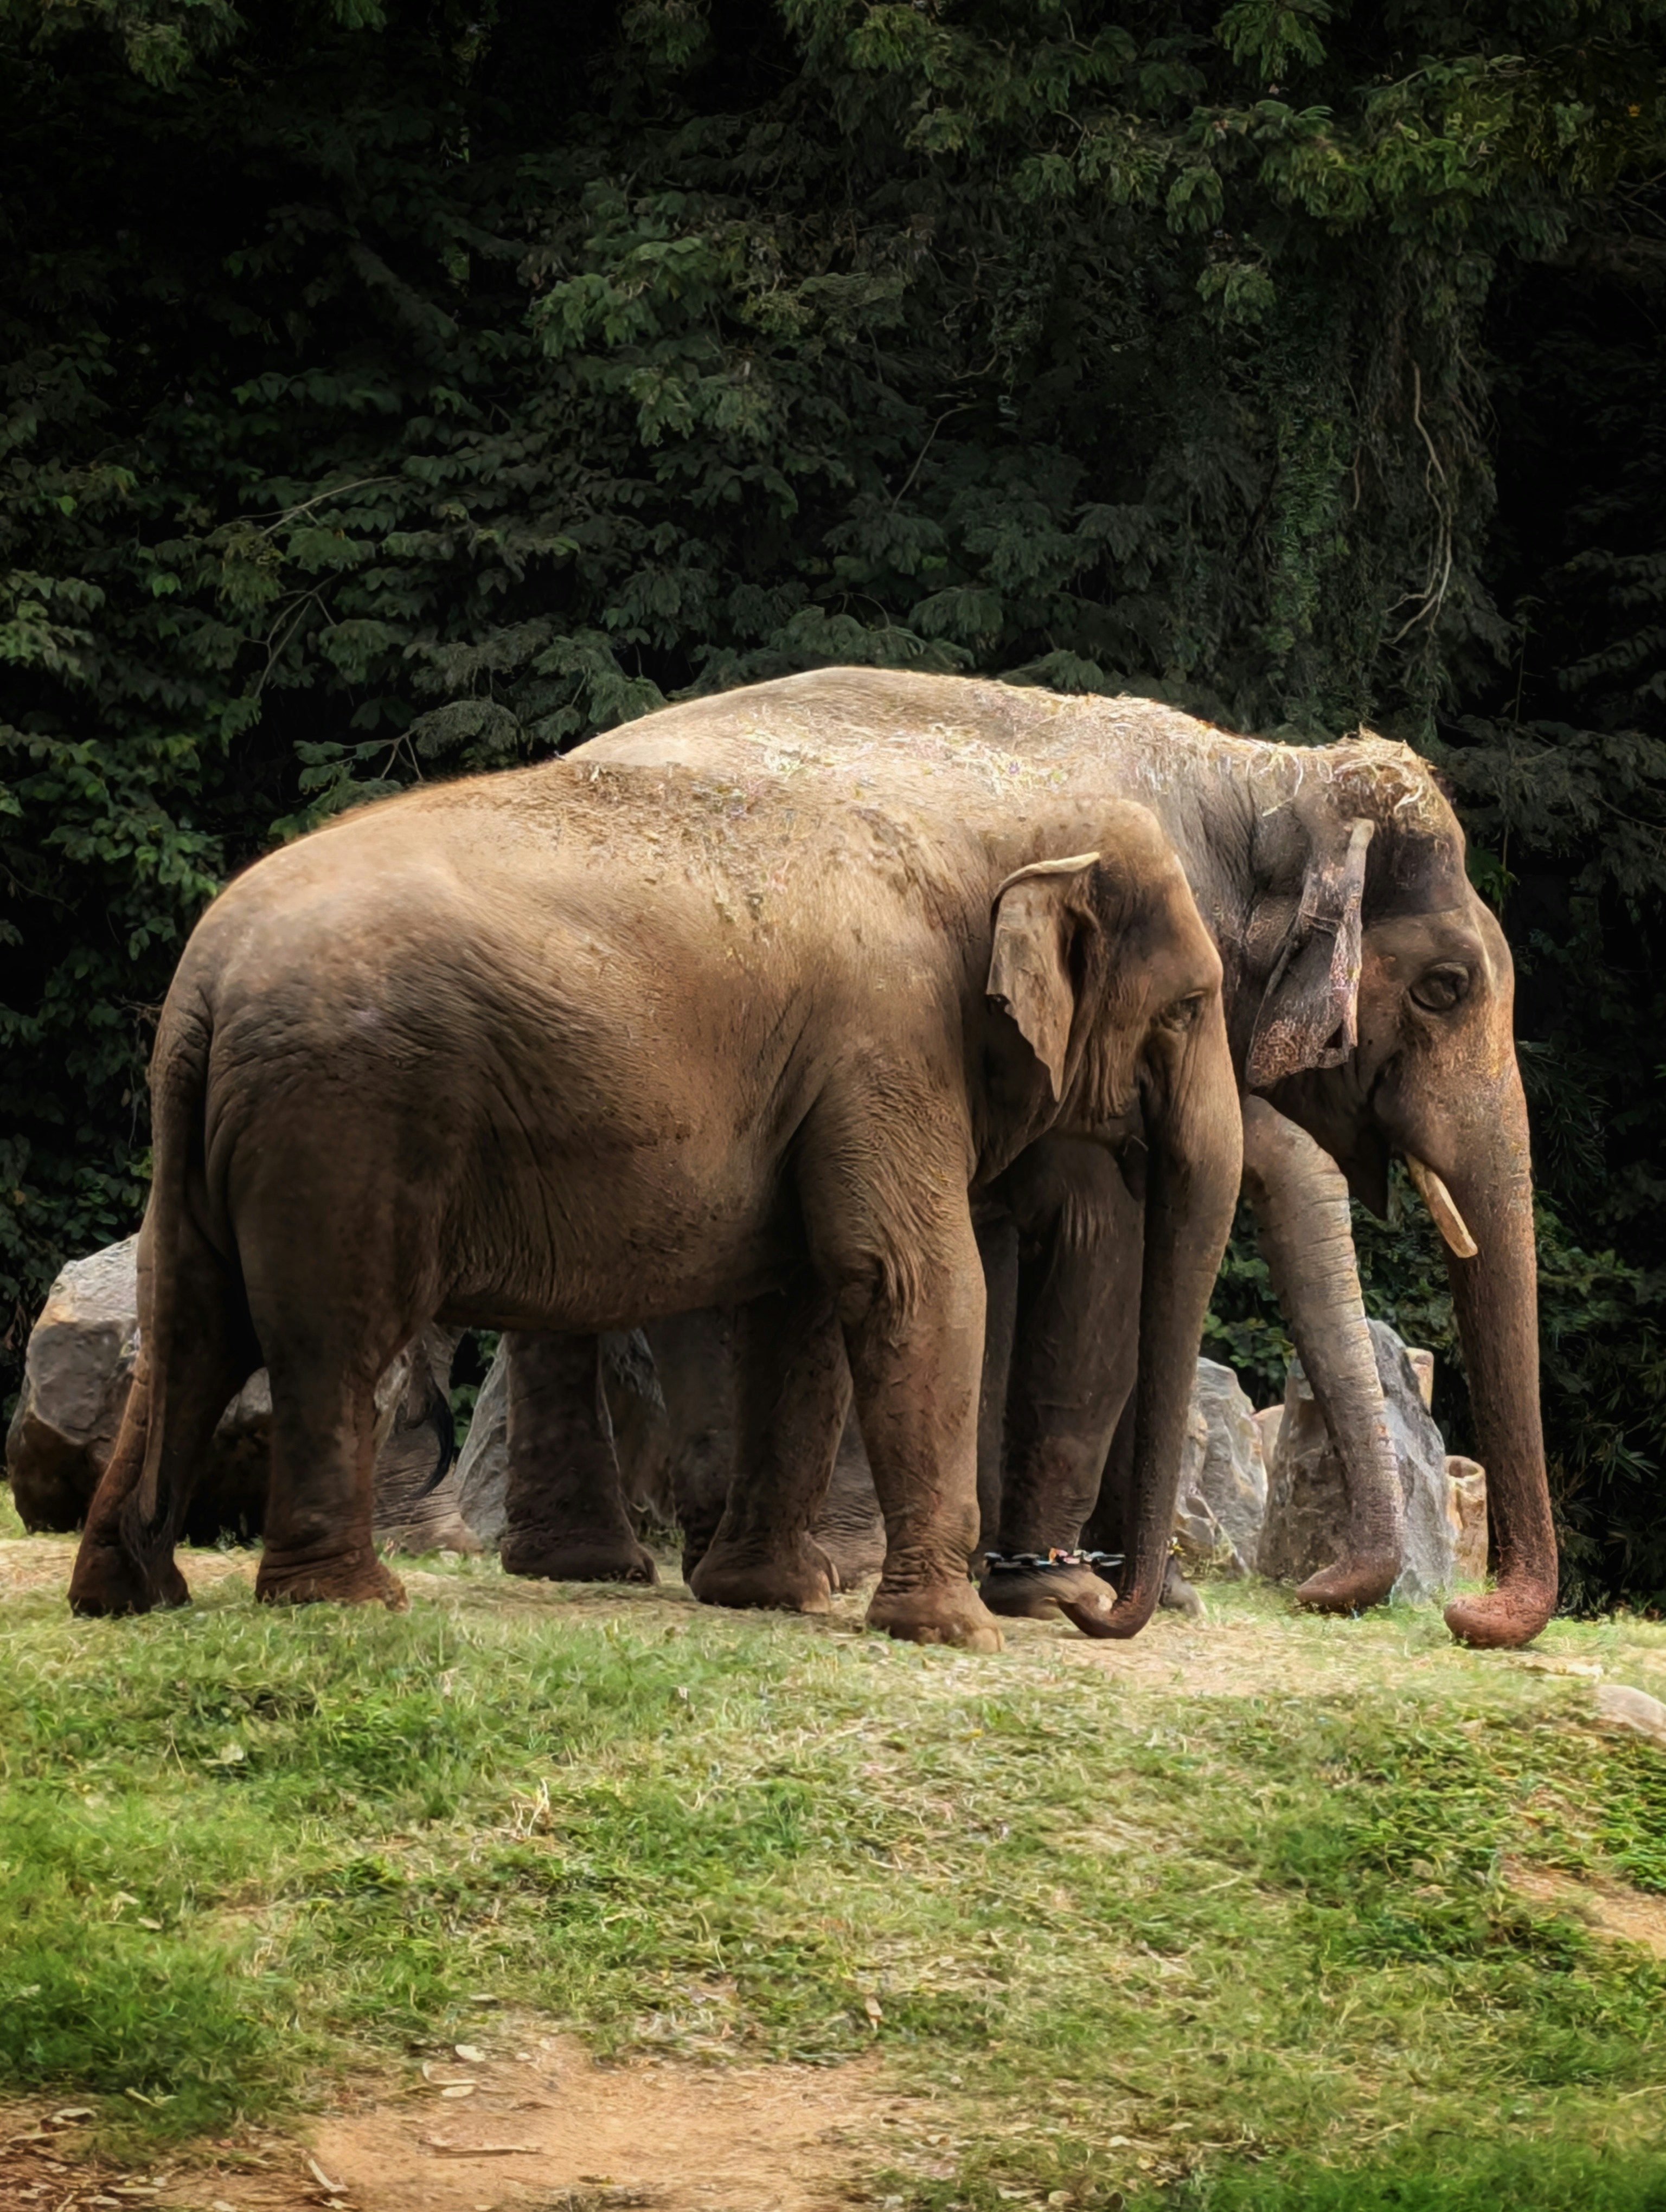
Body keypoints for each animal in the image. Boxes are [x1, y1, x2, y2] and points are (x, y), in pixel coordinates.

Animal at [65, 753, 1241, 1653]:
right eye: (1188, 1006)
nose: (1088, 1603)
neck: (980, 816)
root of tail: (205, 974)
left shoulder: (829, 1080)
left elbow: (801, 1309)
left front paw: (772, 1597)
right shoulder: (888, 1041)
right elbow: (906, 1279)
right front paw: (953, 1636)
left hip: (222, 1131)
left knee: (192, 1323)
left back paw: (130, 1594)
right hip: (347, 1116)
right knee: (335, 1337)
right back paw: (347, 1602)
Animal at [514, 668, 1549, 1651]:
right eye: (1444, 987)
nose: (1323, 1592)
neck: (1256, 777)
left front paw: (1126, 1597)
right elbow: (1104, 1245)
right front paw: (1059, 1596)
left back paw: (614, 1563)